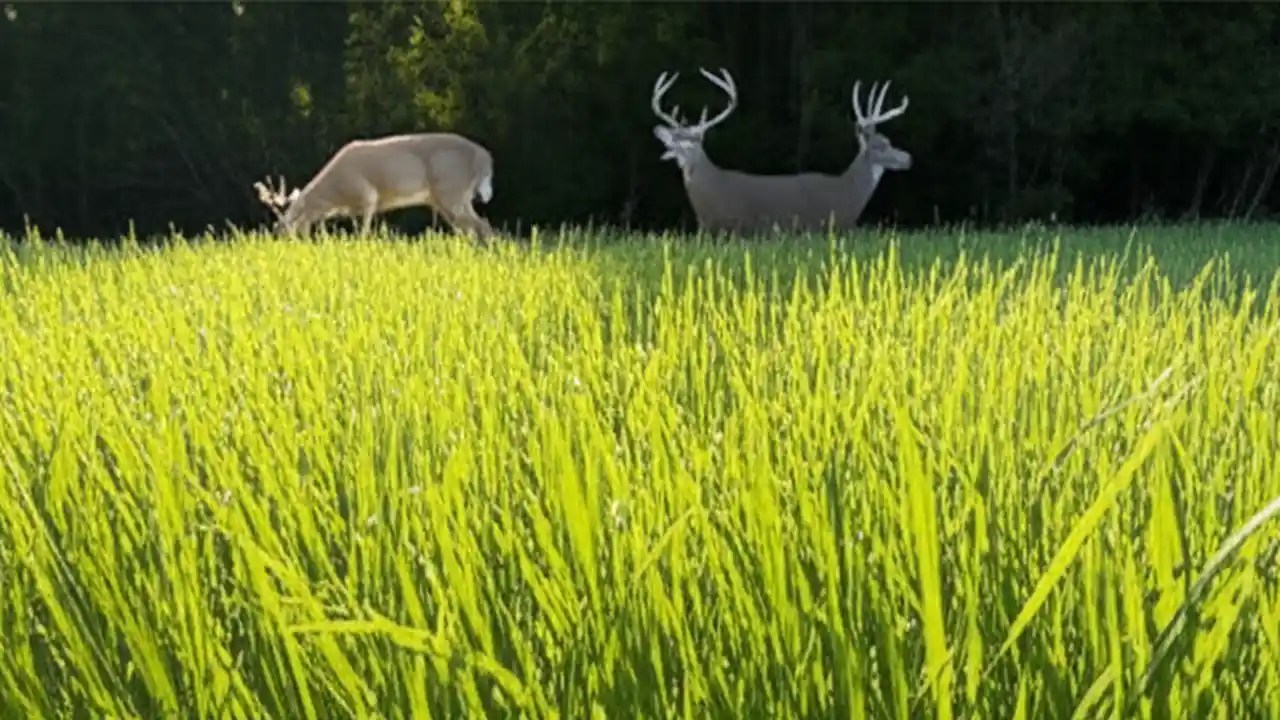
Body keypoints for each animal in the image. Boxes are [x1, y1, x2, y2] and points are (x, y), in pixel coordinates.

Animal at [253, 132, 497, 240]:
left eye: (282, 230)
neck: (335, 193)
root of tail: (484, 159)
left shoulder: (367, 194)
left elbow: (364, 231)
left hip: (451, 190)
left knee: (482, 226)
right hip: (446, 200)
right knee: (472, 228)